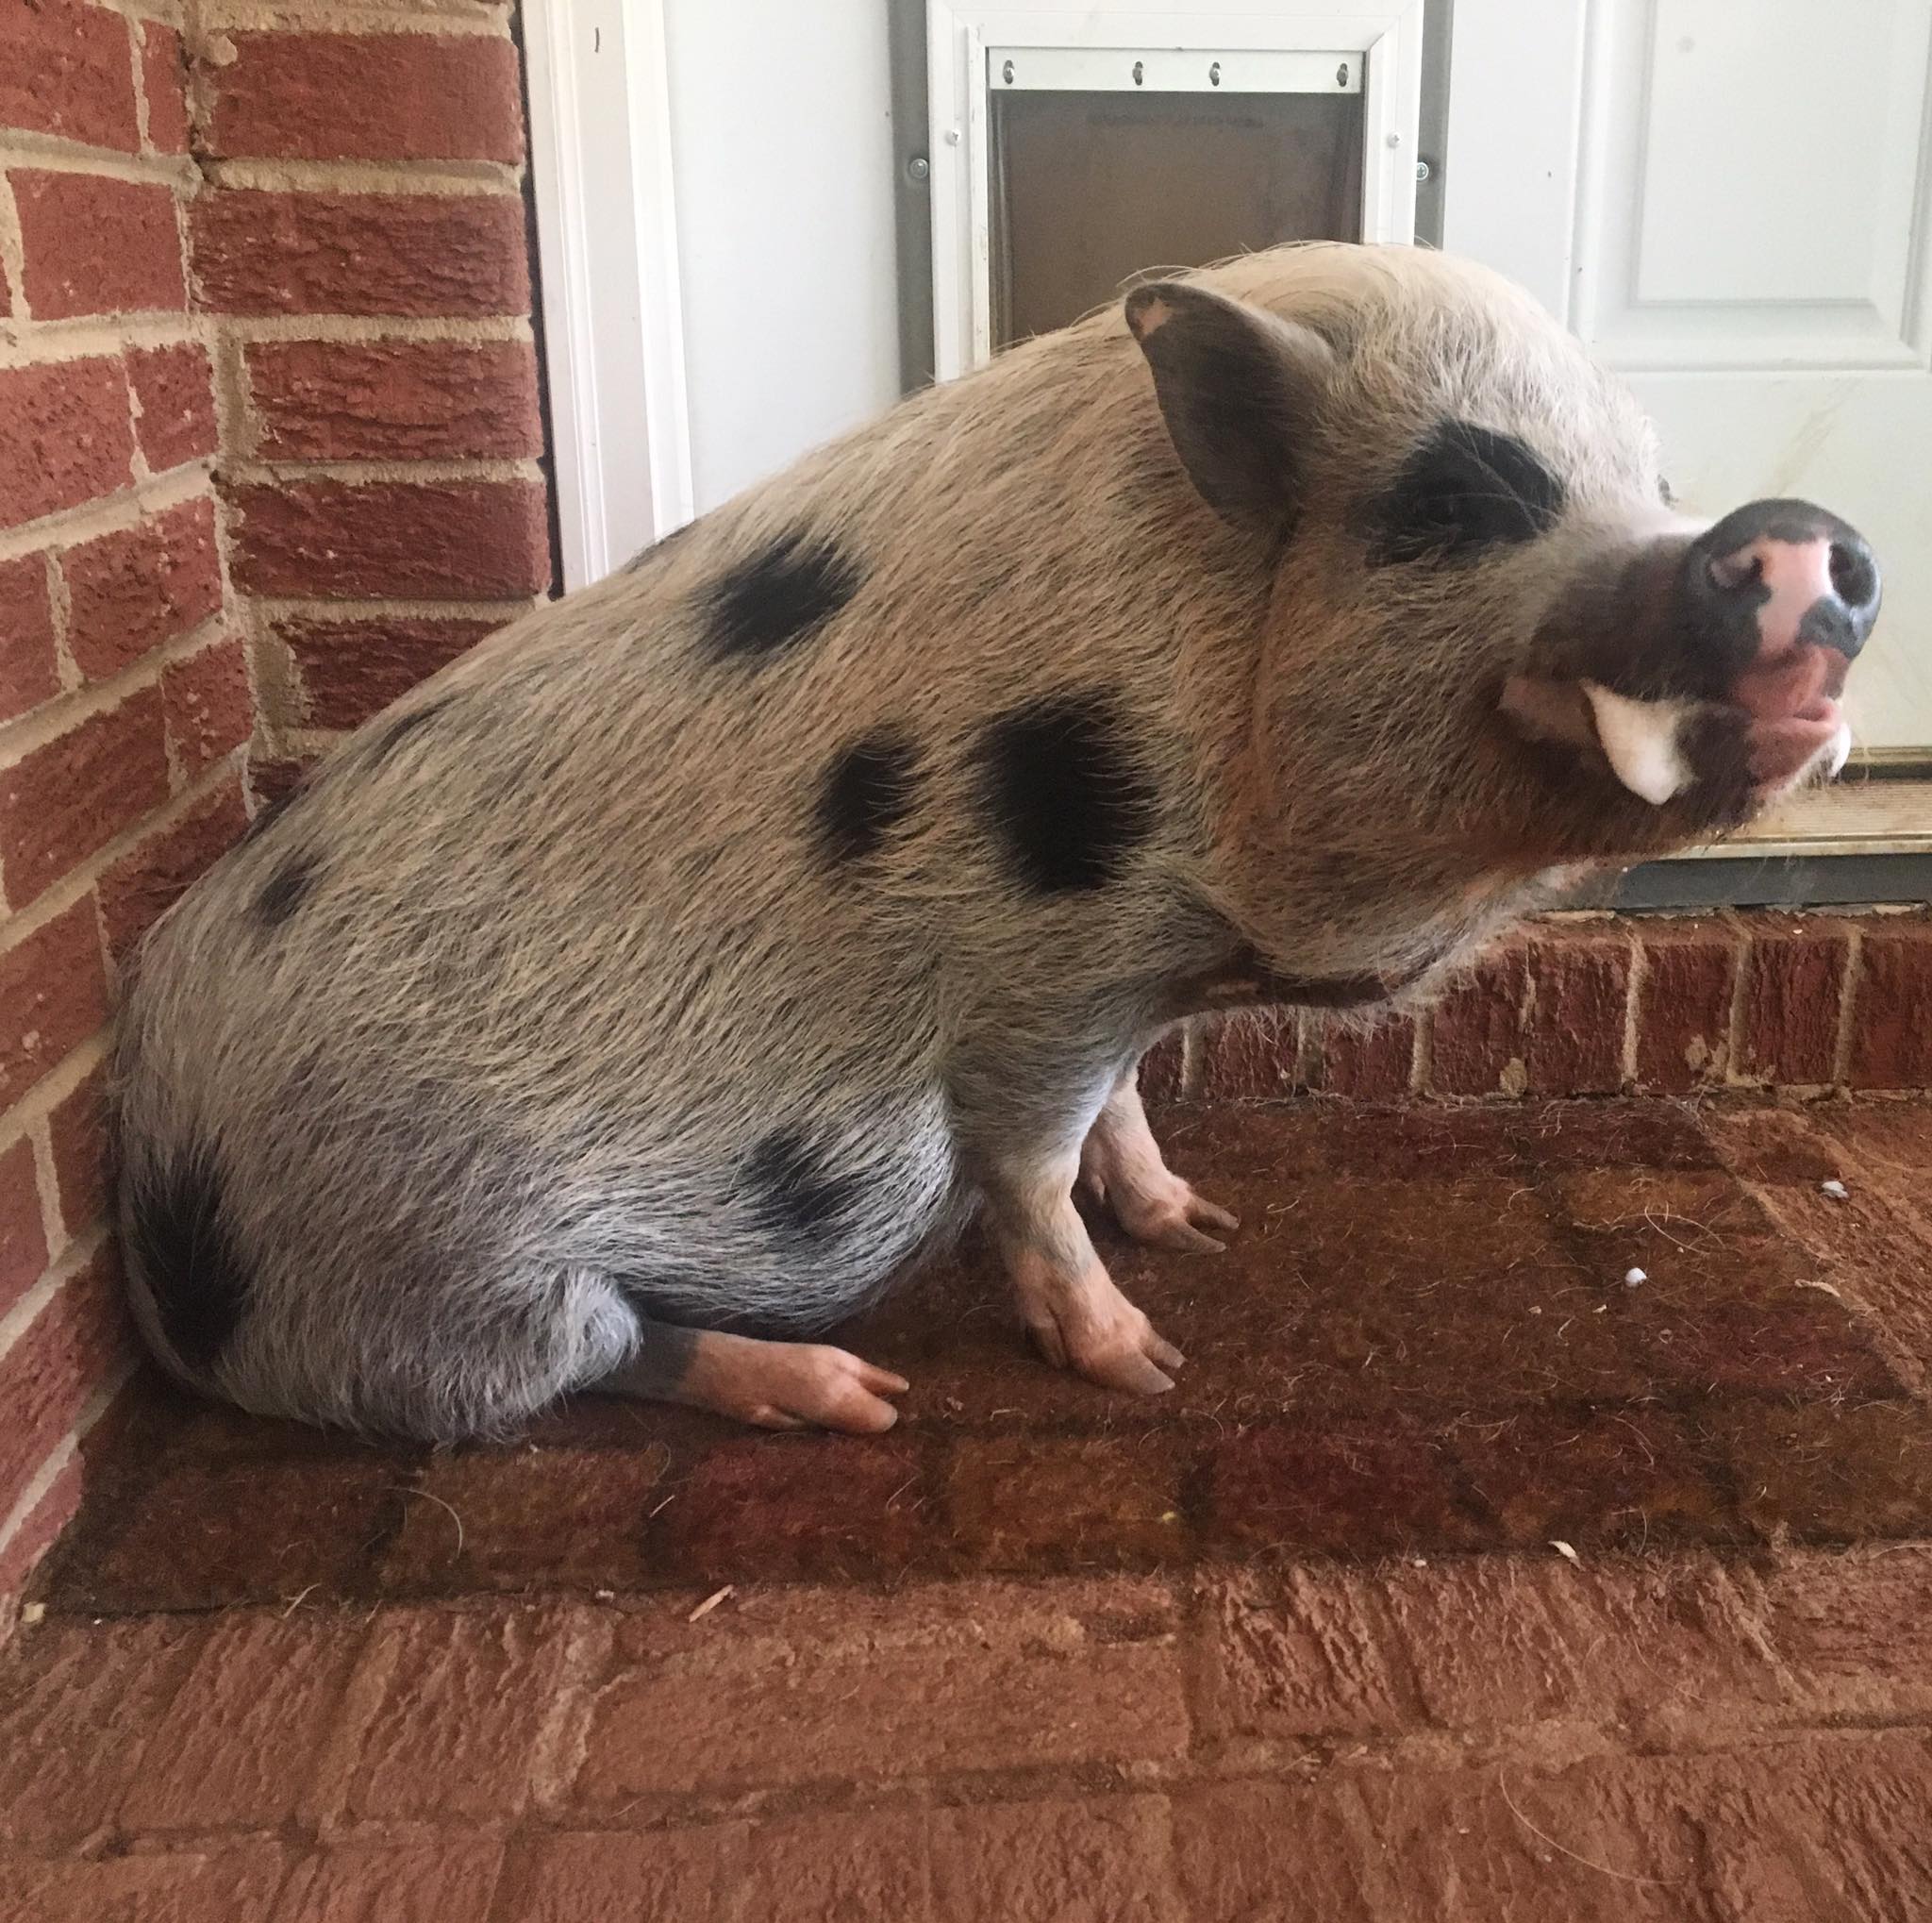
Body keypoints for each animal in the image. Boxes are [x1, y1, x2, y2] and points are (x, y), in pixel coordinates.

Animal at [111, 242, 1880, 1441]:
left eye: (1648, 480)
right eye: (1457, 501)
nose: (1801, 537)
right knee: (597, 1355)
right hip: (437, 1268)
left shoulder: (1123, 974)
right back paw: (856, 1393)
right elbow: (1025, 1162)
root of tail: (146, 1179)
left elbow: (1127, 1104)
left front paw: (1198, 1223)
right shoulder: (1035, 960)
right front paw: (1149, 1362)